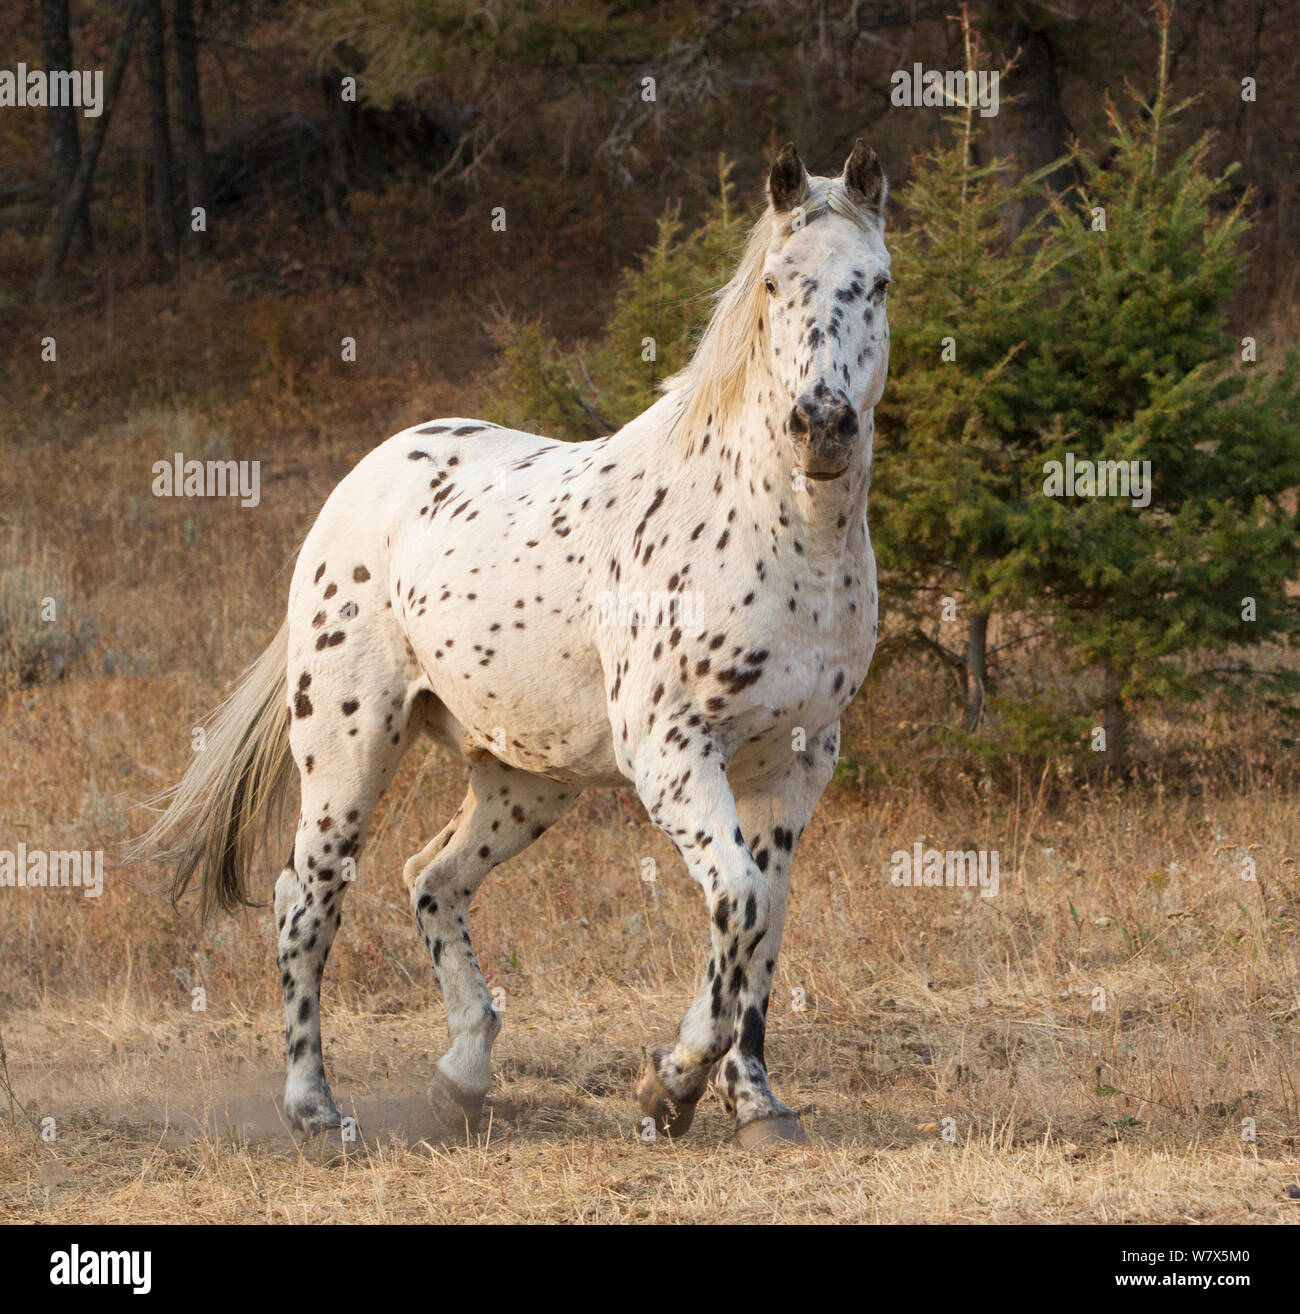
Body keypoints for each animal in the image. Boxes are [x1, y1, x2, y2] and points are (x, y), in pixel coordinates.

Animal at [136, 141, 891, 1149]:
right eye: (775, 282)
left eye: (877, 283)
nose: (823, 425)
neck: (777, 533)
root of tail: (361, 480)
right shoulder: (672, 751)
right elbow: (737, 901)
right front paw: (671, 1088)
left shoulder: (797, 764)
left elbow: (760, 927)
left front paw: (757, 1103)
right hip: (347, 748)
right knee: (306, 901)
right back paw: (315, 1110)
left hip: (525, 780)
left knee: (432, 877)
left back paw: (462, 1076)